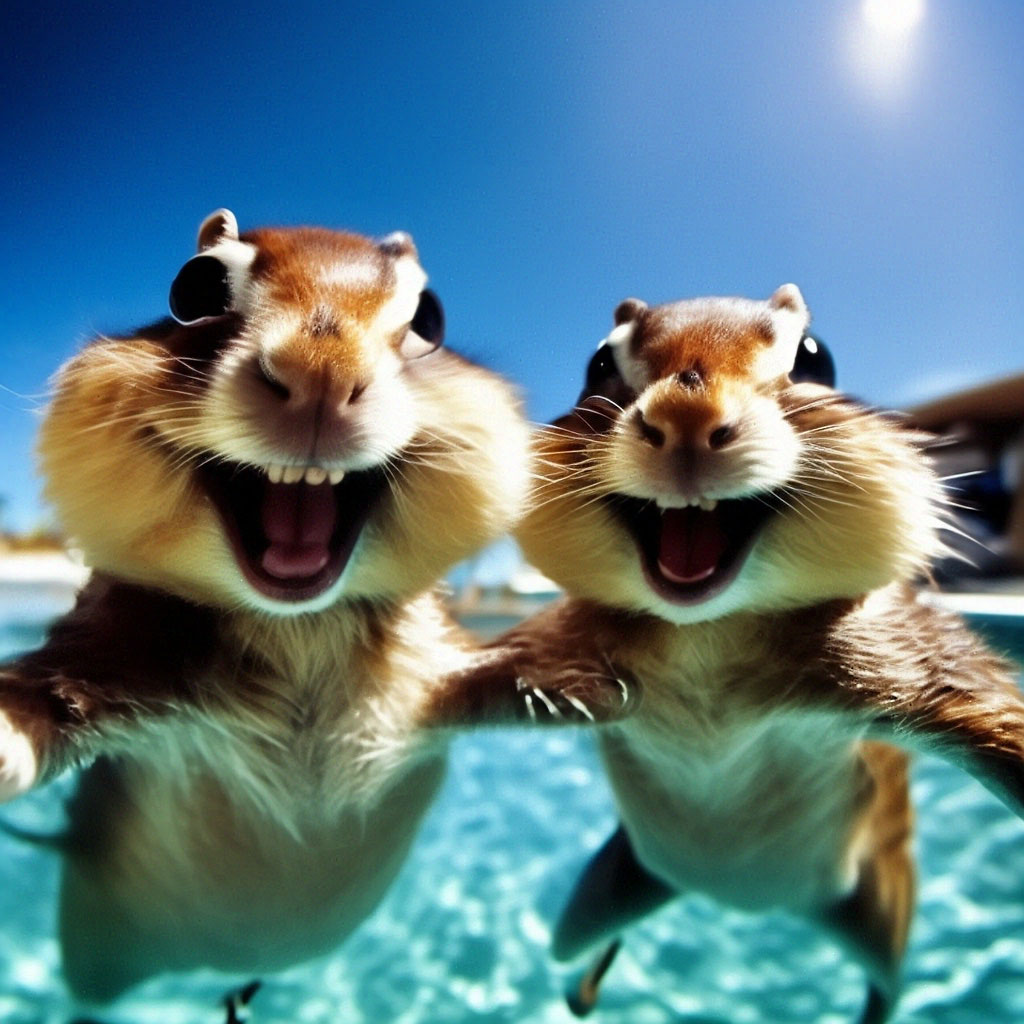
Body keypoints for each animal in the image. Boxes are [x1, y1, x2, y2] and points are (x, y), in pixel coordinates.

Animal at [0, 211, 629, 1005]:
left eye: (431, 317)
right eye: (192, 286)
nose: (321, 373)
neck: (299, 628)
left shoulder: (427, 675)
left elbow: (493, 673)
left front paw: (589, 681)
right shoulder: (120, 656)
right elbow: (49, 691)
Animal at [497, 285, 1024, 1023]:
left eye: (816, 356)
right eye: (598, 362)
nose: (687, 414)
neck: (704, 634)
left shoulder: (888, 657)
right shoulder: (565, 652)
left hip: (881, 913)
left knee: (885, 987)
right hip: (612, 890)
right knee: (583, 942)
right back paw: (583, 989)